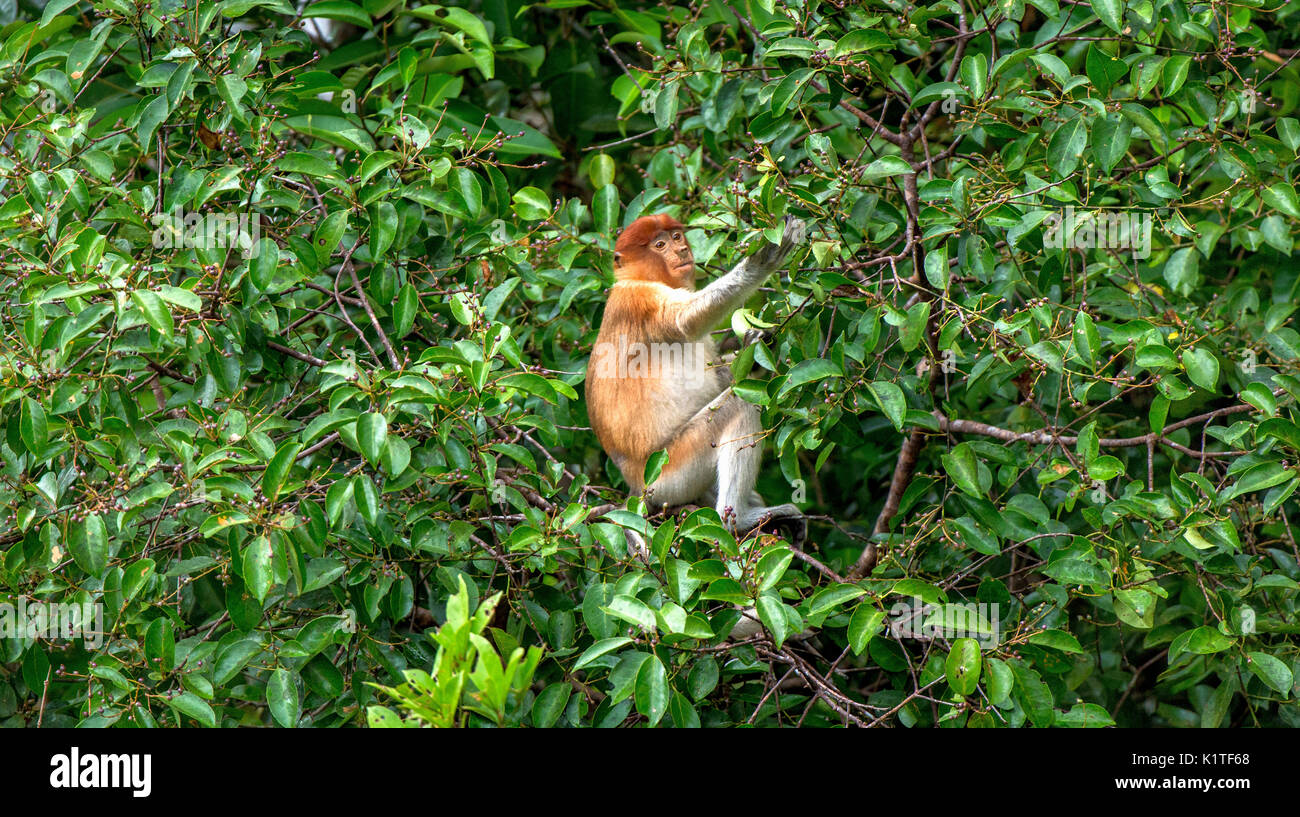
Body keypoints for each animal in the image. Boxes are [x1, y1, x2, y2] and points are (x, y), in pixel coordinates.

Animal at [585, 212, 809, 560]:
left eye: (676, 236)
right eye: (659, 244)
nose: (681, 251)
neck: (642, 278)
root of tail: (636, 487)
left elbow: (718, 374)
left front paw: (756, 343)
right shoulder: (640, 300)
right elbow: (684, 320)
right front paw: (766, 256)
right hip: (671, 472)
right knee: (740, 407)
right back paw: (737, 519)